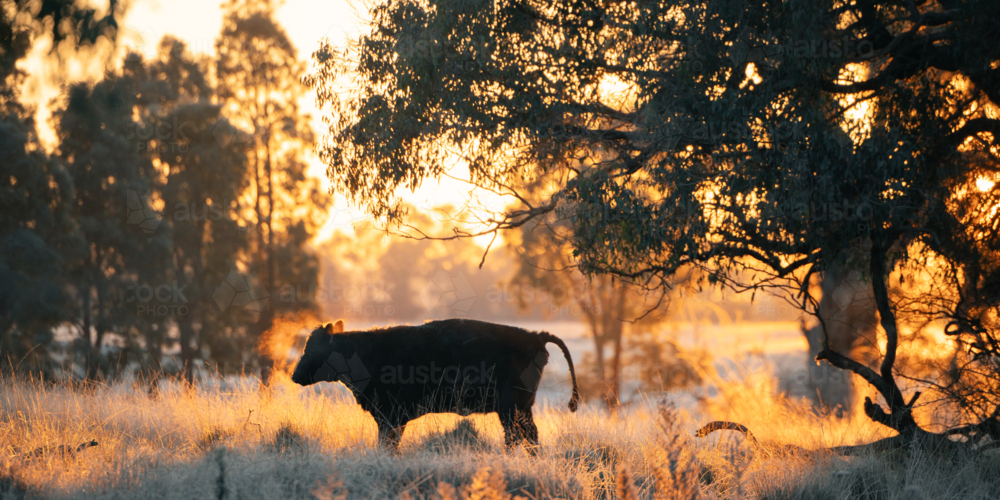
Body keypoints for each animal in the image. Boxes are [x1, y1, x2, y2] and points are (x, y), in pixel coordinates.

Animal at [290, 319, 580, 453]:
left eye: (312, 348)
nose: (294, 375)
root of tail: (536, 336)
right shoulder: (390, 418)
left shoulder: (390, 416)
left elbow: (388, 443)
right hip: (518, 409)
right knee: (525, 436)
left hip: (512, 409)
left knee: (518, 436)